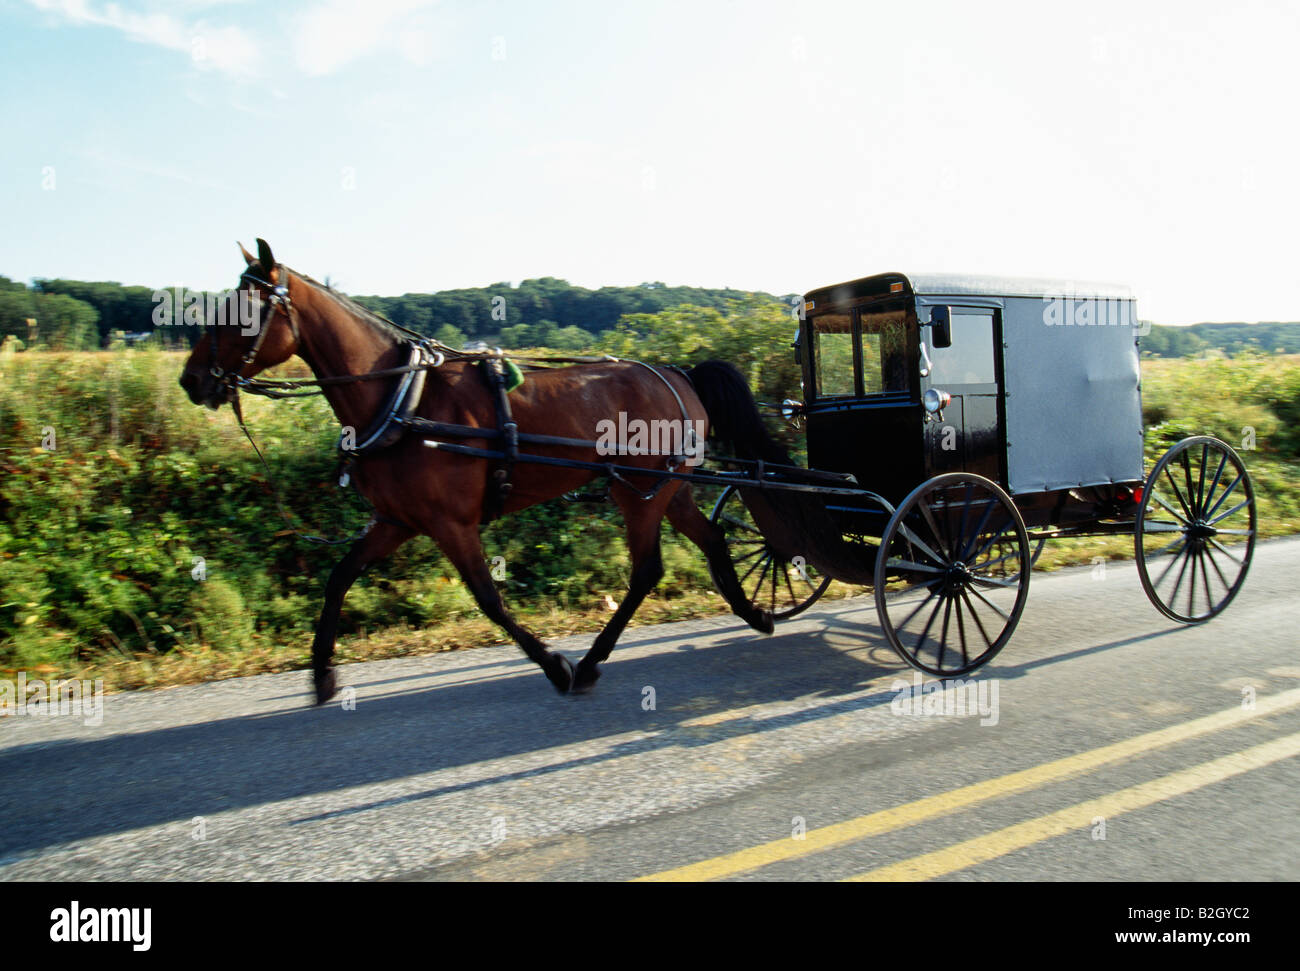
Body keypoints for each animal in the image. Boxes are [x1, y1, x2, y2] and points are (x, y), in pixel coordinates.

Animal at [180, 239, 779, 704]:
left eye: (242, 312)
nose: (192, 379)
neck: (404, 399)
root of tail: (678, 373)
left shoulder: (451, 523)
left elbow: (488, 598)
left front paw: (556, 666)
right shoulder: (395, 521)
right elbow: (339, 577)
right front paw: (323, 674)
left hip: (641, 493)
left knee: (647, 571)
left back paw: (590, 662)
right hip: (665, 488)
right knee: (711, 539)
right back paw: (756, 613)